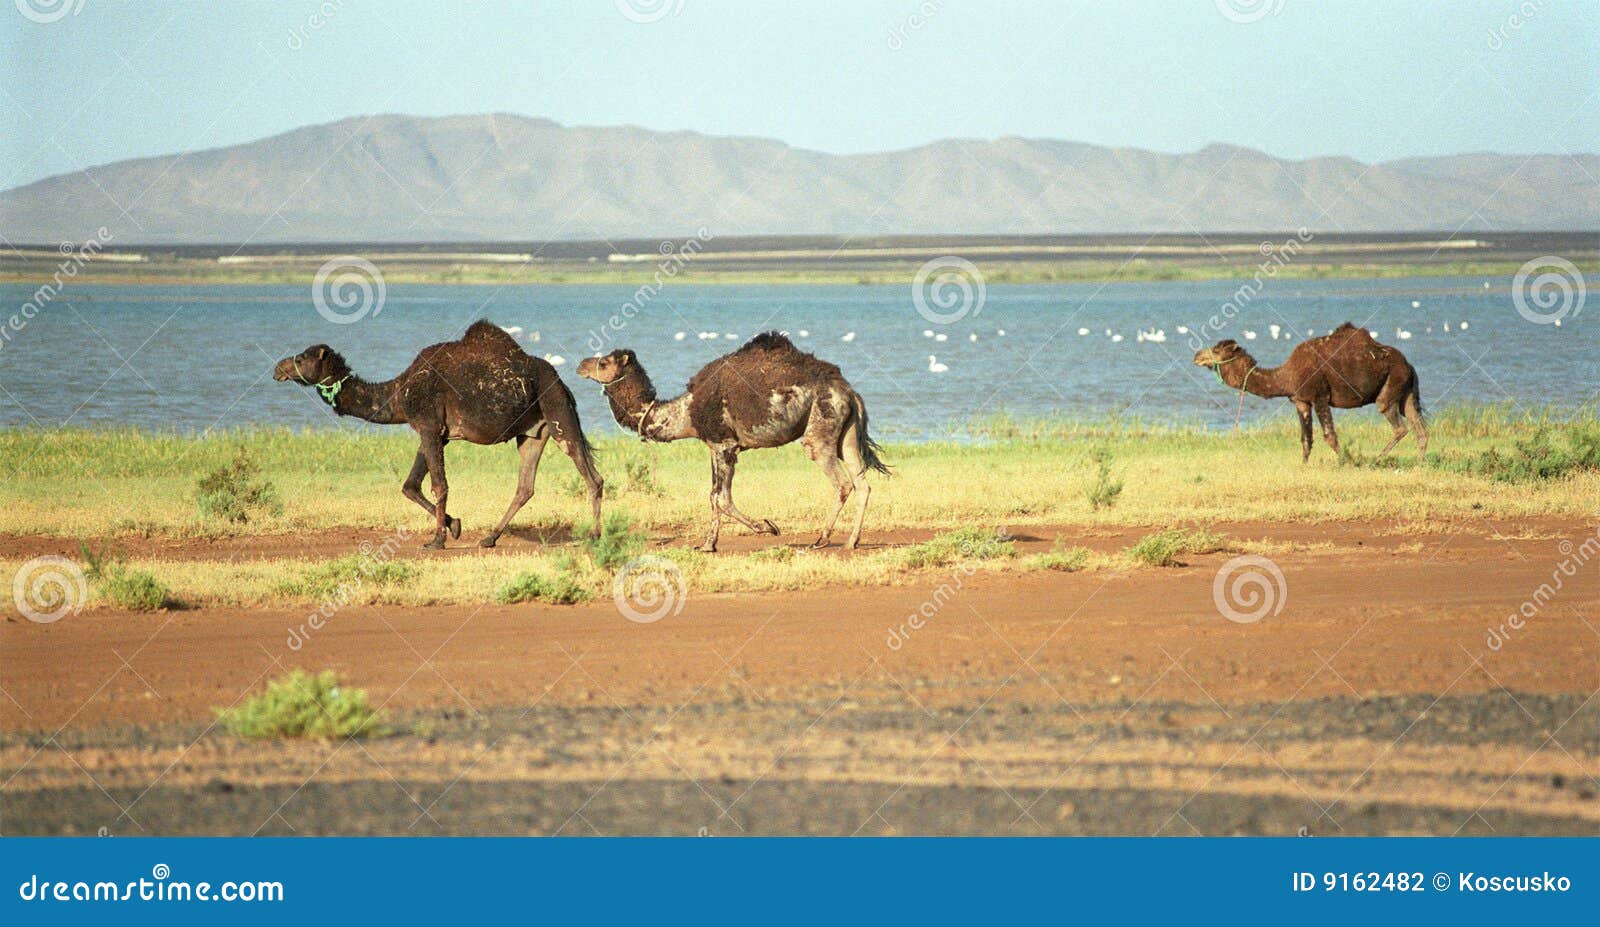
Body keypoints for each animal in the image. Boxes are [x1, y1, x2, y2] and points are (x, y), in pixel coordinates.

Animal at [274, 320, 603, 549]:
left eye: (302, 358)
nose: (278, 367)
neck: (399, 393)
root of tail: (562, 381)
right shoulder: (431, 431)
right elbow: (410, 486)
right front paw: (454, 525)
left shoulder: (430, 425)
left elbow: (439, 486)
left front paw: (437, 540)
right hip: (533, 431)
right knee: (525, 486)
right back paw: (489, 538)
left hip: (558, 412)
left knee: (591, 476)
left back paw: (595, 536)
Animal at [576, 332, 889, 552]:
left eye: (604, 362)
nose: (581, 365)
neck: (685, 413)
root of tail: (849, 392)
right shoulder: (713, 448)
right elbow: (713, 496)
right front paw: (707, 545)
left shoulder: (725, 445)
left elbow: (722, 498)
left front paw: (768, 527)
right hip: (846, 436)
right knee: (862, 484)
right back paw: (851, 541)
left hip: (821, 426)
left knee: (842, 482)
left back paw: (821, 539)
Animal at [1192, 322, 1427, 462]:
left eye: (1217, 350)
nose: (1197, 355)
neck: (1287, 375)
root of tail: (1409, 365)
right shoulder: (1301, 401)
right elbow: (1306, 438)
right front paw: (1304, 465)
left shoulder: (1319, 396)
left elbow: (1329, 436)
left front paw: (1347, 462)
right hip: (1405, 392)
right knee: (1419, 426)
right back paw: (1419, 463)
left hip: (1392, 383)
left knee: (1398, 424)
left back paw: (1376, 460)